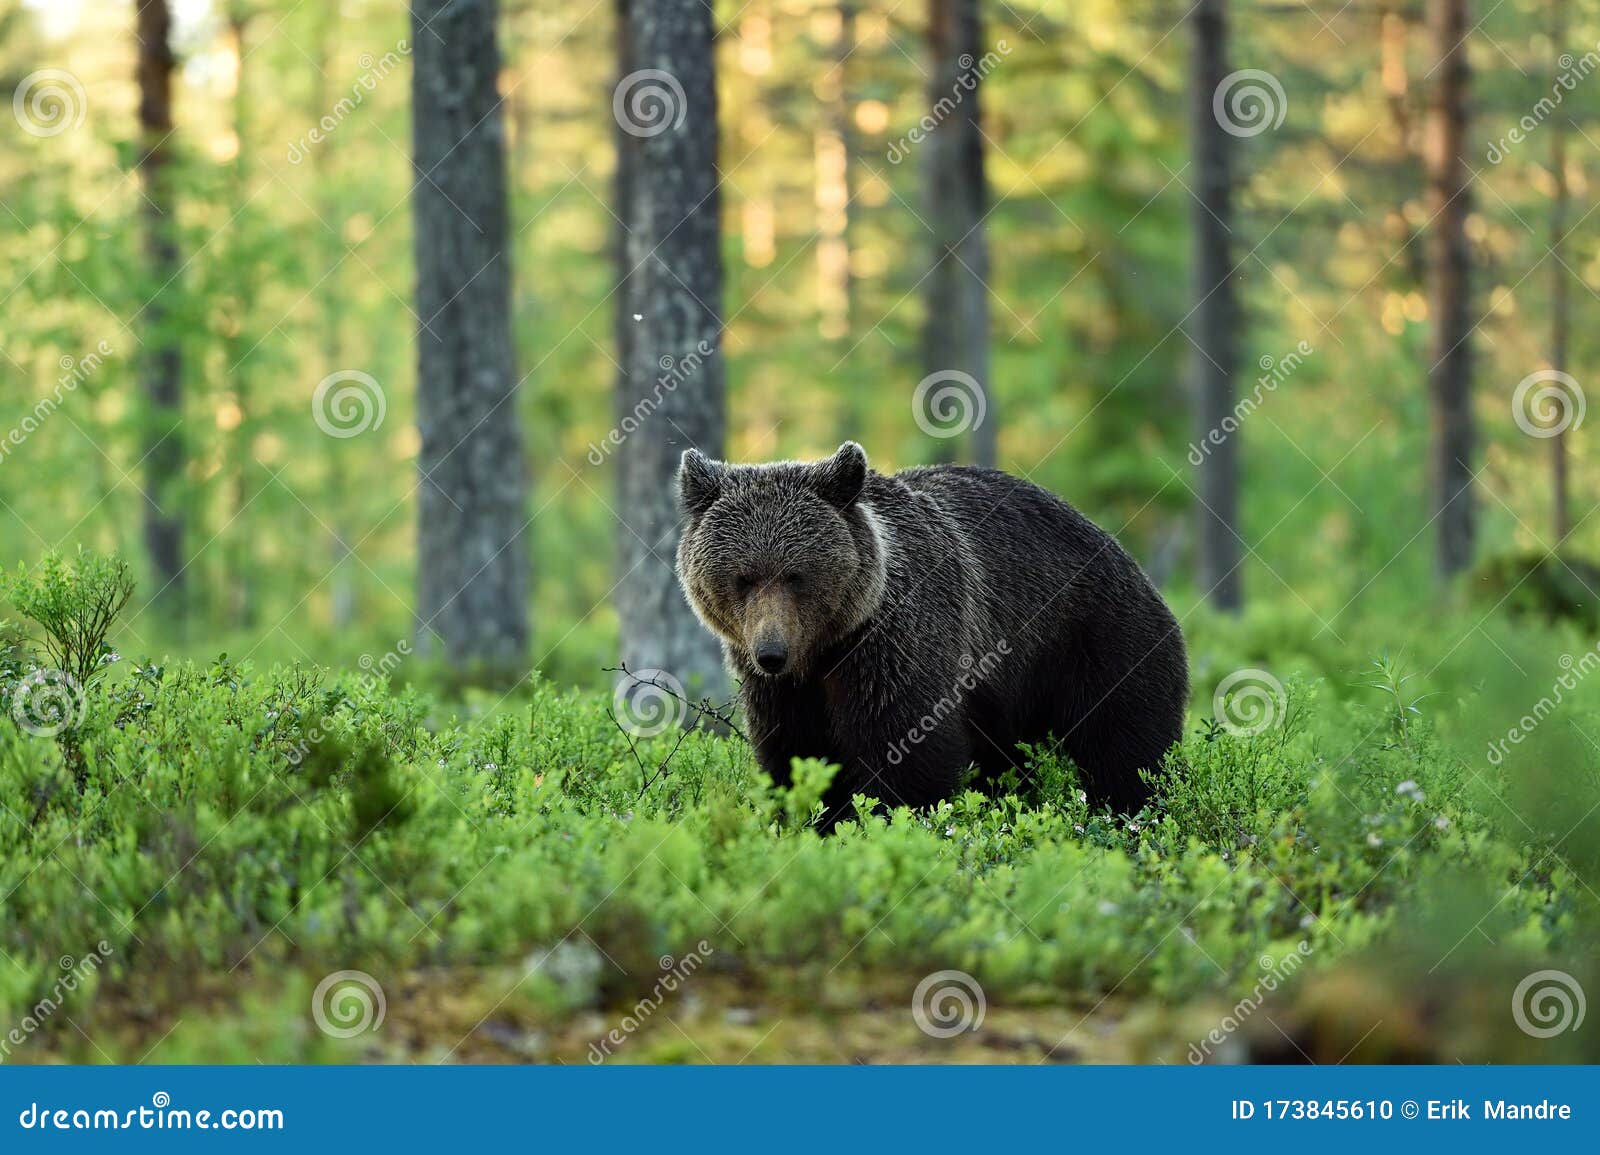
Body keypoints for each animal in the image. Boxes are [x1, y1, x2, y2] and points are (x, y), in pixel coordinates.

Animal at [674, 441, 1189, 830]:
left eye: (796, 576)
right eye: (743, 578)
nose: (771, 653)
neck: (826, 650)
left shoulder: (895, 645)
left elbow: (906, 752)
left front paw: (889, 820)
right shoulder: (783, 690)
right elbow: (798, 754)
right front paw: (816, 821)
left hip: (1096, 640)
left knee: (1125, 747)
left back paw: (1132, 811)